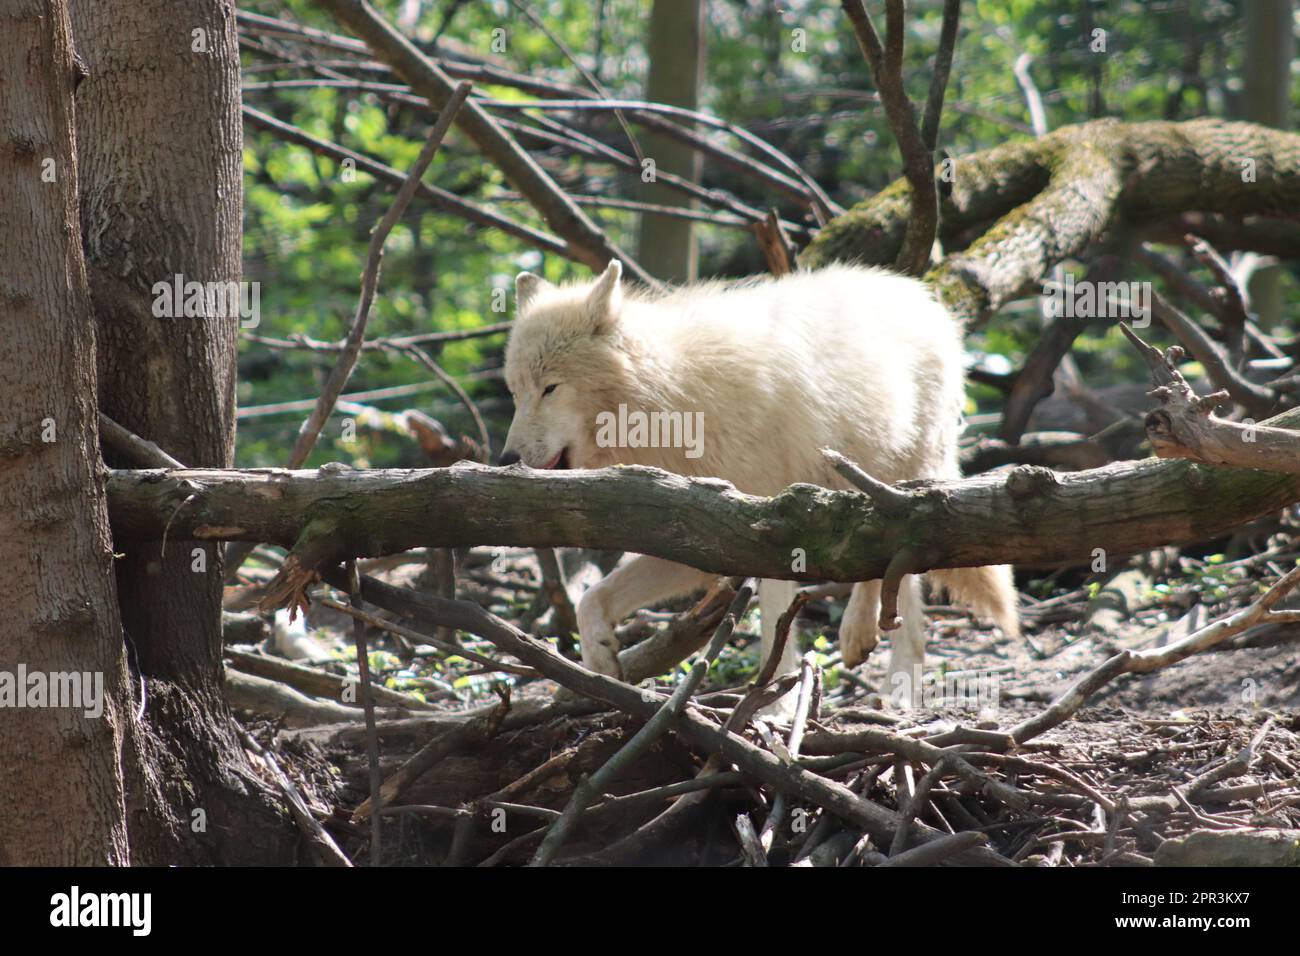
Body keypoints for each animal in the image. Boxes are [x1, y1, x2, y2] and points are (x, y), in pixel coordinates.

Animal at [499, 260, 1018, 705]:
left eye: (551, 388)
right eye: (516, 392)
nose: (506, 458)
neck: (671, 397)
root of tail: (919, 293)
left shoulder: (775, 532)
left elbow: (775, 629)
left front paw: (773, 710)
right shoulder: (693, 545)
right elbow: (591, 598)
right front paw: (601, 661)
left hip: (902, 483)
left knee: (897, 577)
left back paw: (885, 672)